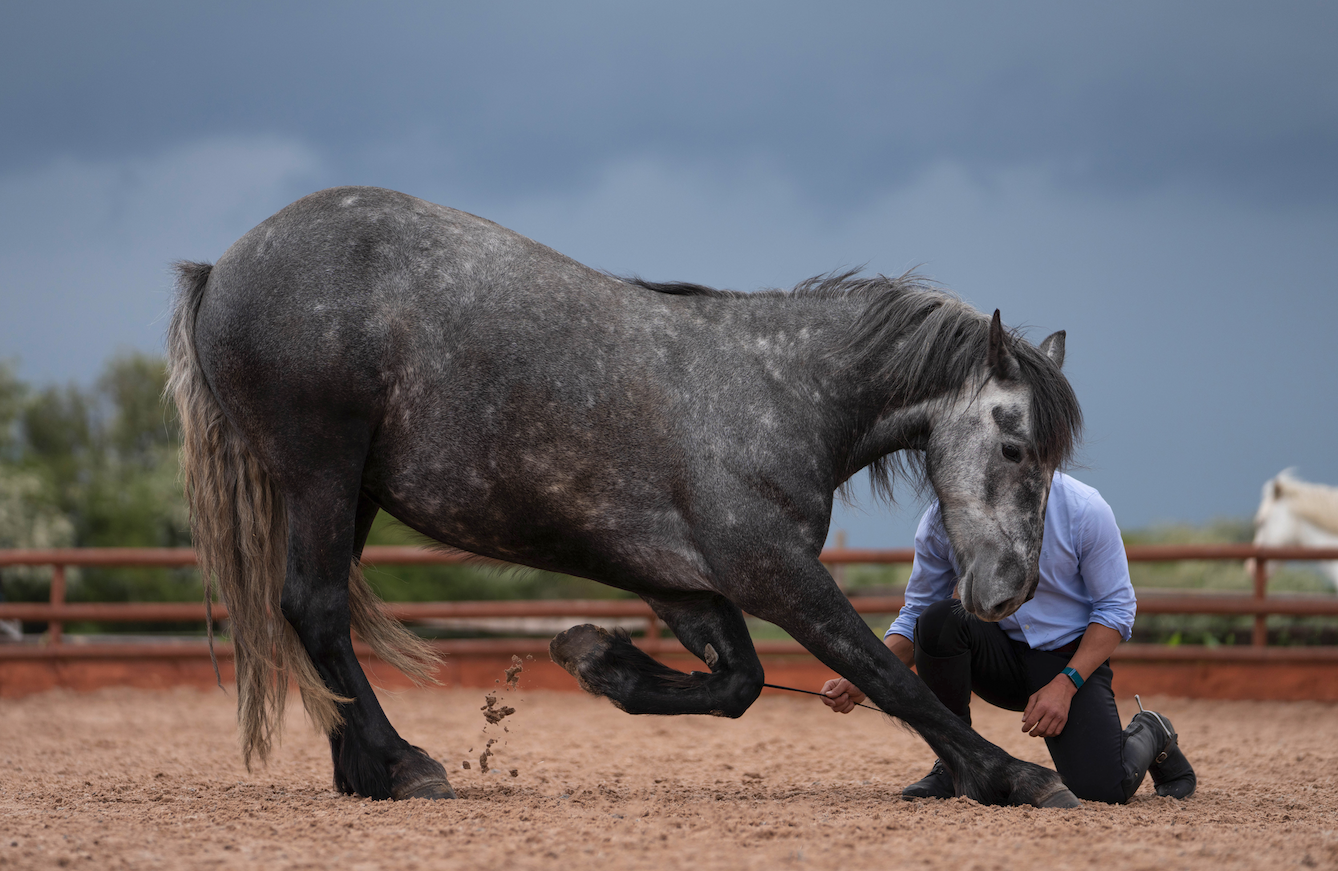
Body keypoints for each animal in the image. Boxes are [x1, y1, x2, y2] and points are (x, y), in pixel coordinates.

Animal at [167, 186, 1083, 807]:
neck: (780, 391)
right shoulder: (777, 574)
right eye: (1015, 446)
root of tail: (225, 268)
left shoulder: (683, 584)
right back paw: (403, 764)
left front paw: (595, 656)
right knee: (315, 608)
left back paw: (363, 769)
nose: (1011, 592)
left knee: (308, 616)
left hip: (347, 490)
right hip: (320, 469)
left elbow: (739, 684)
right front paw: (1014, 775)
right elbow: (885, 675)